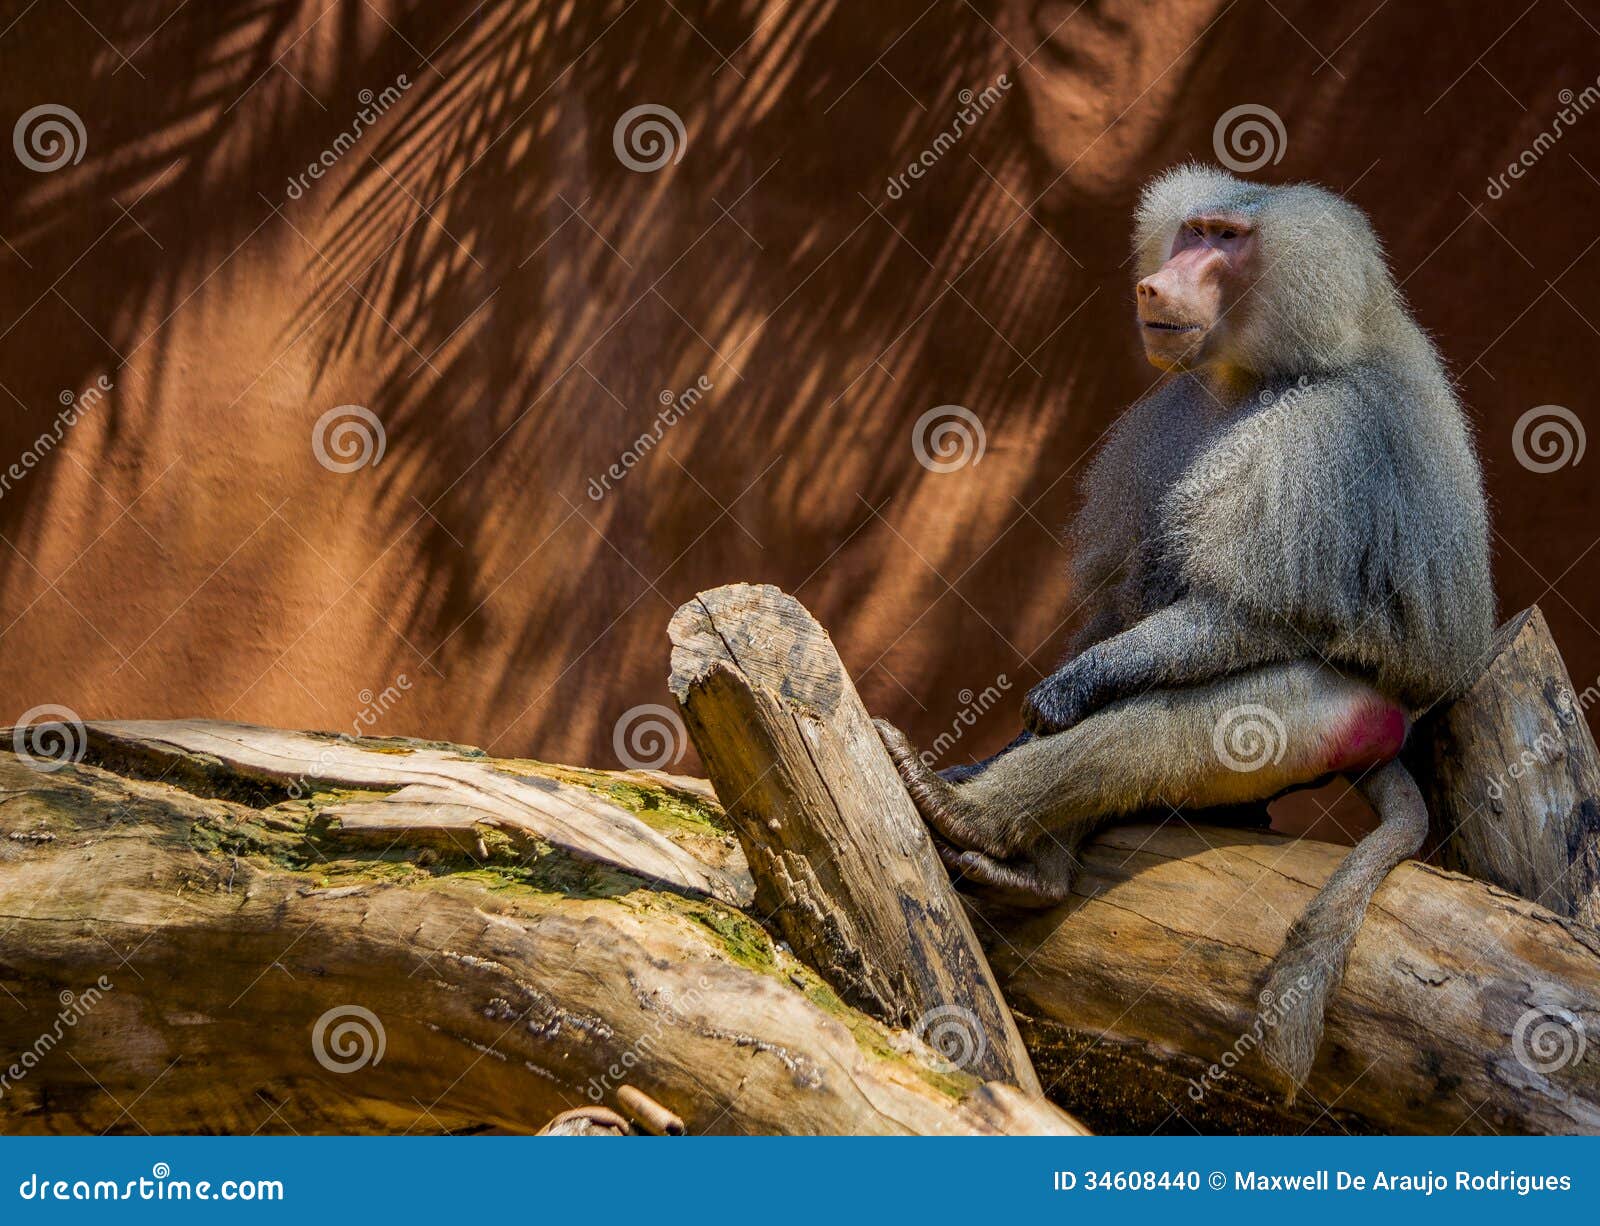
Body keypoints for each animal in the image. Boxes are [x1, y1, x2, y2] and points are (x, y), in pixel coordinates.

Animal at [877, 163, 1494, 1099]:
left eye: (1228, 243)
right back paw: (1031, 867)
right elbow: (1122, 598)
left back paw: (972, 814)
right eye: (1192, 232)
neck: (1257, 370)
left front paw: (1066, 693)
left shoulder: (1324, 439)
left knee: (1177, 727)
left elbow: (1250, 612)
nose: (1152, 286)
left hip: (1349, 714)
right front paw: (1014, 734)